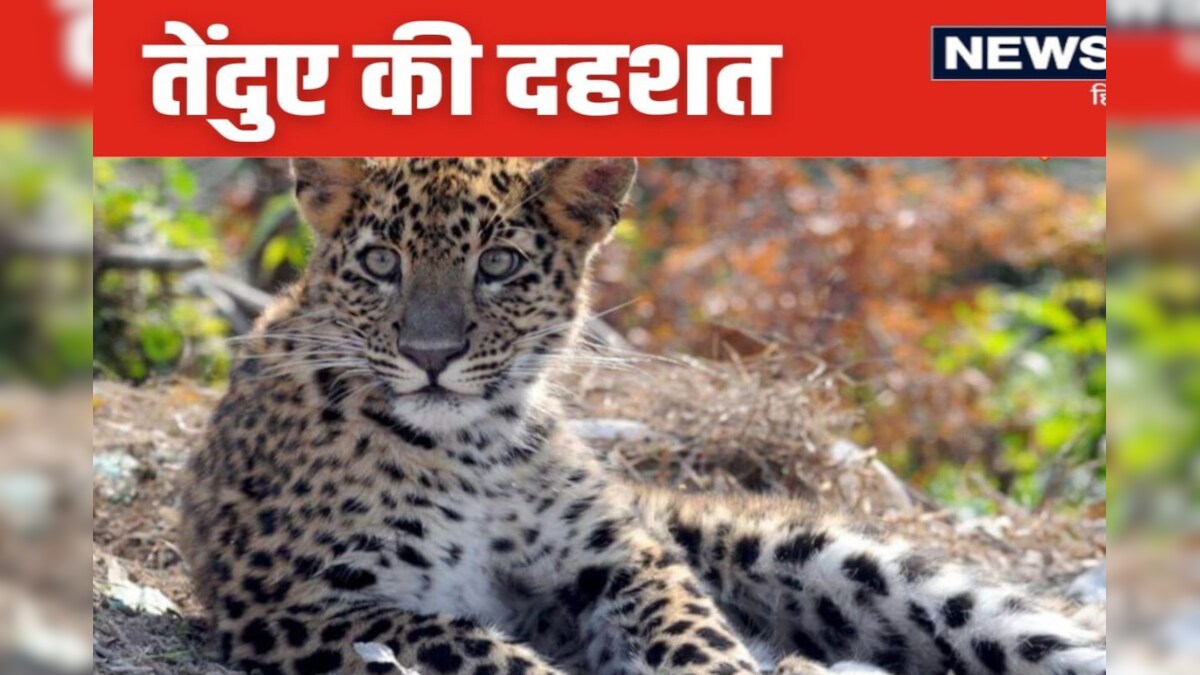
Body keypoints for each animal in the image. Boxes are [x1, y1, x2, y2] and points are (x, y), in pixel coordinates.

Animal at [181, 157, 1106, 675]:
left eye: (499, 264)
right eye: (380, 263)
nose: (430, 354)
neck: (470, 443)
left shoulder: (623, 556)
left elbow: (691, 626)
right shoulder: (292, 603)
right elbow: (470, 643)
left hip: (830, 554)